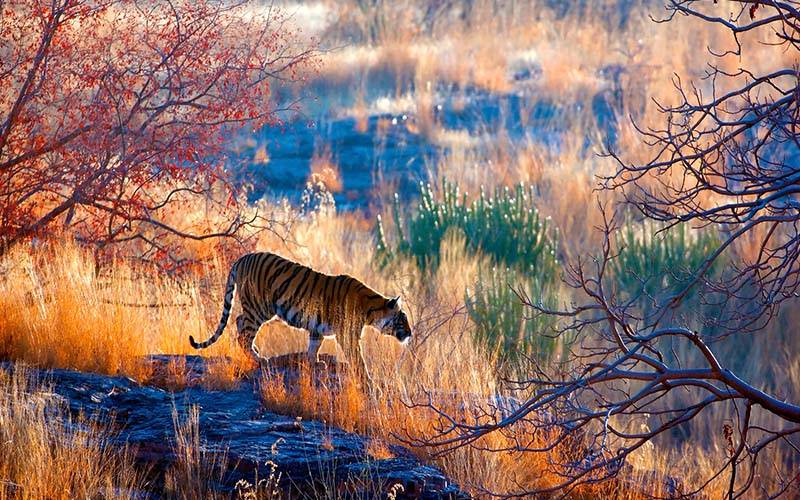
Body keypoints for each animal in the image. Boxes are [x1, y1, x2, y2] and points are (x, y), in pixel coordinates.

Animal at [189, 252, 412, 386]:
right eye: (402, 320)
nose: (410, 334)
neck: (371, 310)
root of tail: (243, 257)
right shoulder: (348, 336)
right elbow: (358, 359)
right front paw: (368, 381)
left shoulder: (317, 329)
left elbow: (313, 347)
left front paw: (315, 363)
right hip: (259, 307)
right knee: (243, 332)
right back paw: (259, 358)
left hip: (256, 308)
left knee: (239, 322)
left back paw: (255, 352)